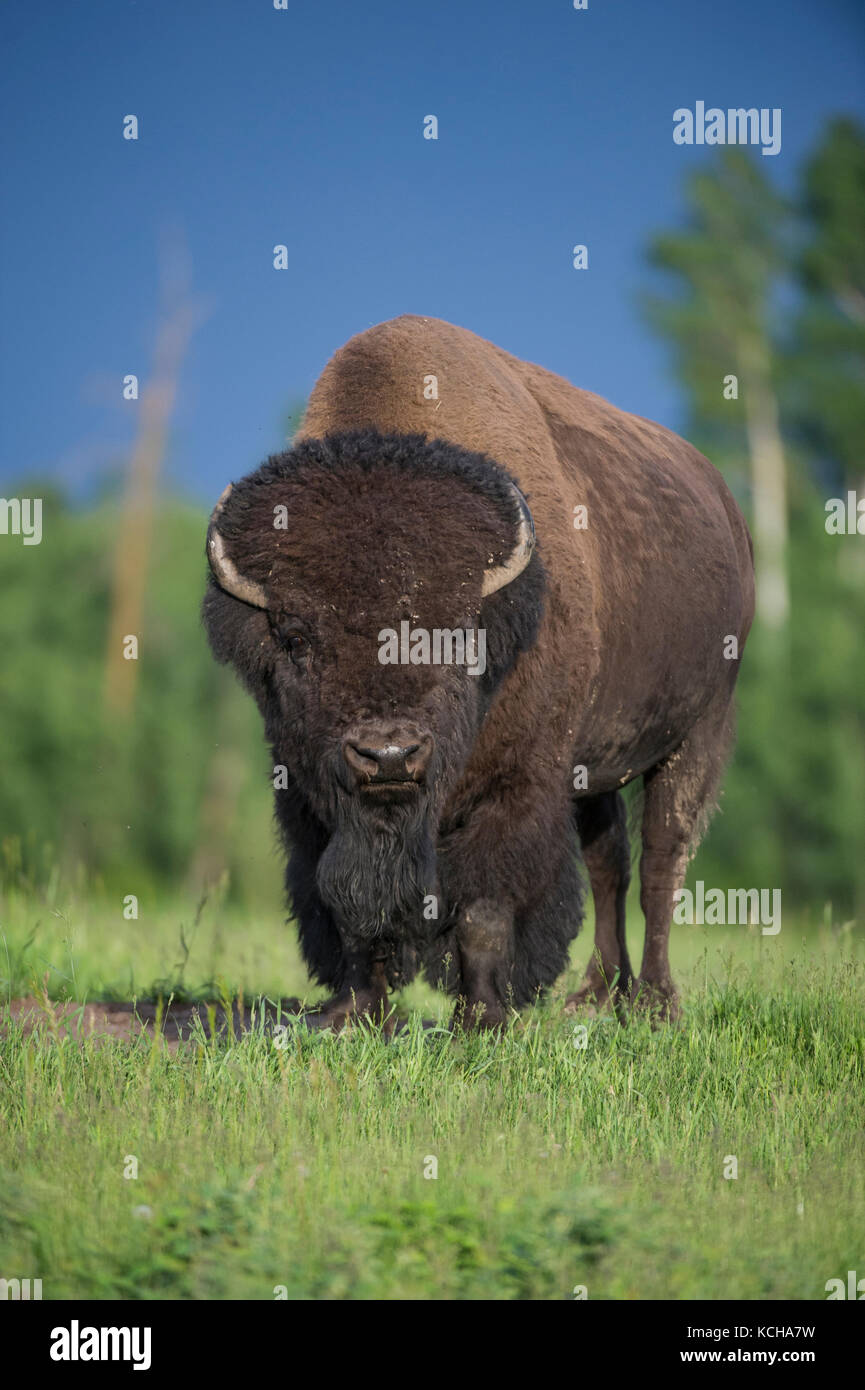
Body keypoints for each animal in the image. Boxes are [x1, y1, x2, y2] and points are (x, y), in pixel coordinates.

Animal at [203, 315, 754, 1028]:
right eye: (295, 637)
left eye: (457, 634)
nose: (388, 755)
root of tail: (730, 516)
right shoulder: (306, 795)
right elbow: (344, 904)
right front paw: (352, 1013)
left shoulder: (518, 783)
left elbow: (485, 909)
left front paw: (484, 1018)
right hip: (595, 766)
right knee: (609, 861)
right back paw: (595, 994)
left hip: (697, 733)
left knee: (662, 860)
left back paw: (656, 1003)